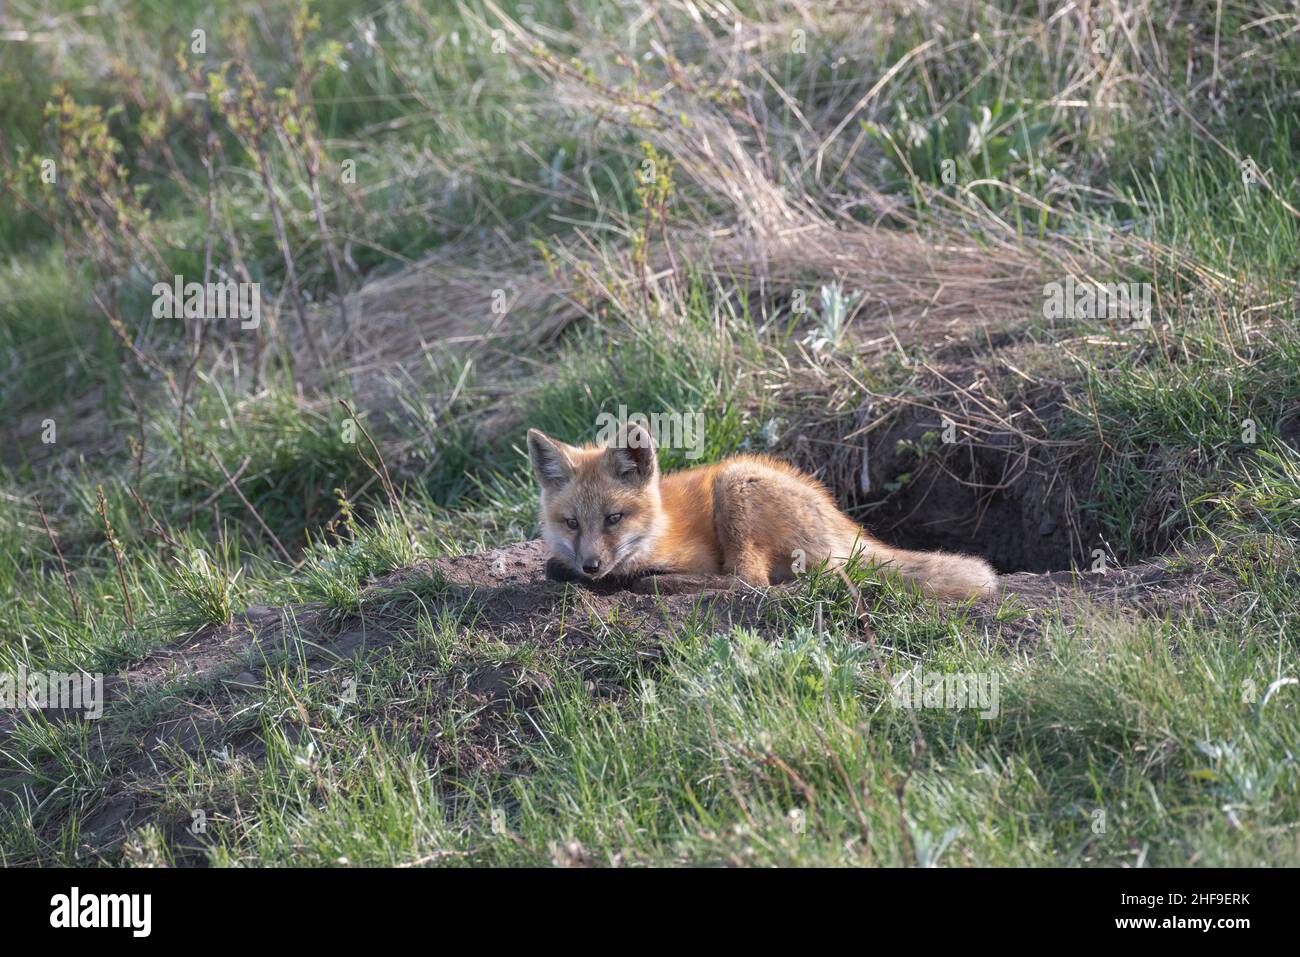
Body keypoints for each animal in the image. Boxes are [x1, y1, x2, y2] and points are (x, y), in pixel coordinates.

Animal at [527, 422, 997, 600]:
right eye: (572, 523)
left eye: (613, 518)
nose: (591, 566)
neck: (657, 530)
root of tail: (847, 526)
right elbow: (553, 565)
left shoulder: (696, 555)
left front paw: (627, 579)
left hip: (735, 485)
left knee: (749, 583)